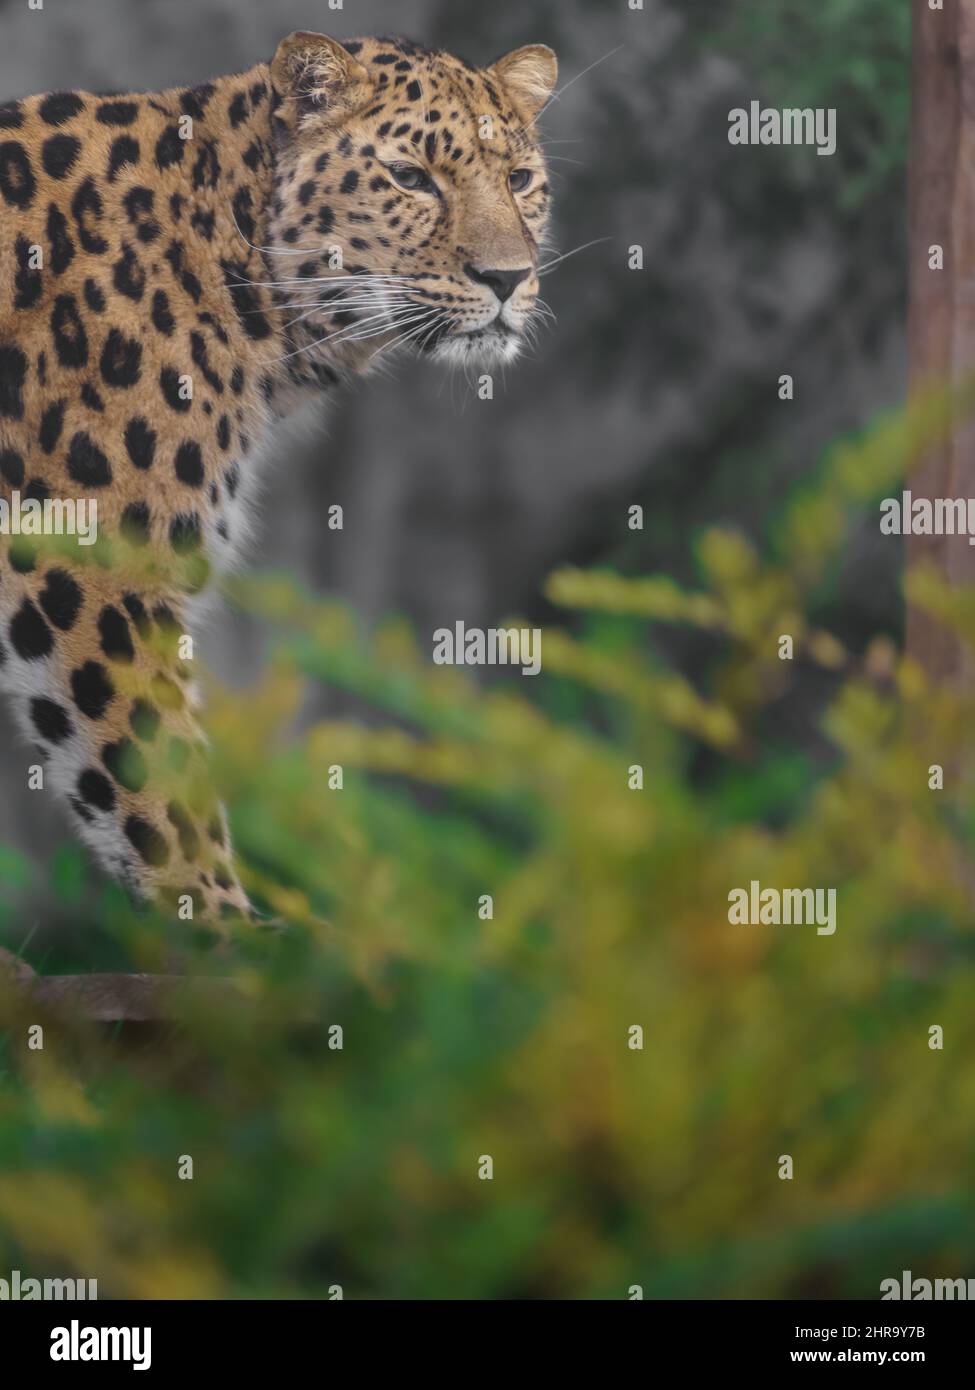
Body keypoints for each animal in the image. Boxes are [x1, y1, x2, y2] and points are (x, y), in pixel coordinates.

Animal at [0, 31, 558, 926]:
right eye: (411, 178)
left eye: (519, 179)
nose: (507, 278)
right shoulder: (97, 567)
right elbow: (158, 786)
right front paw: (231, 930)